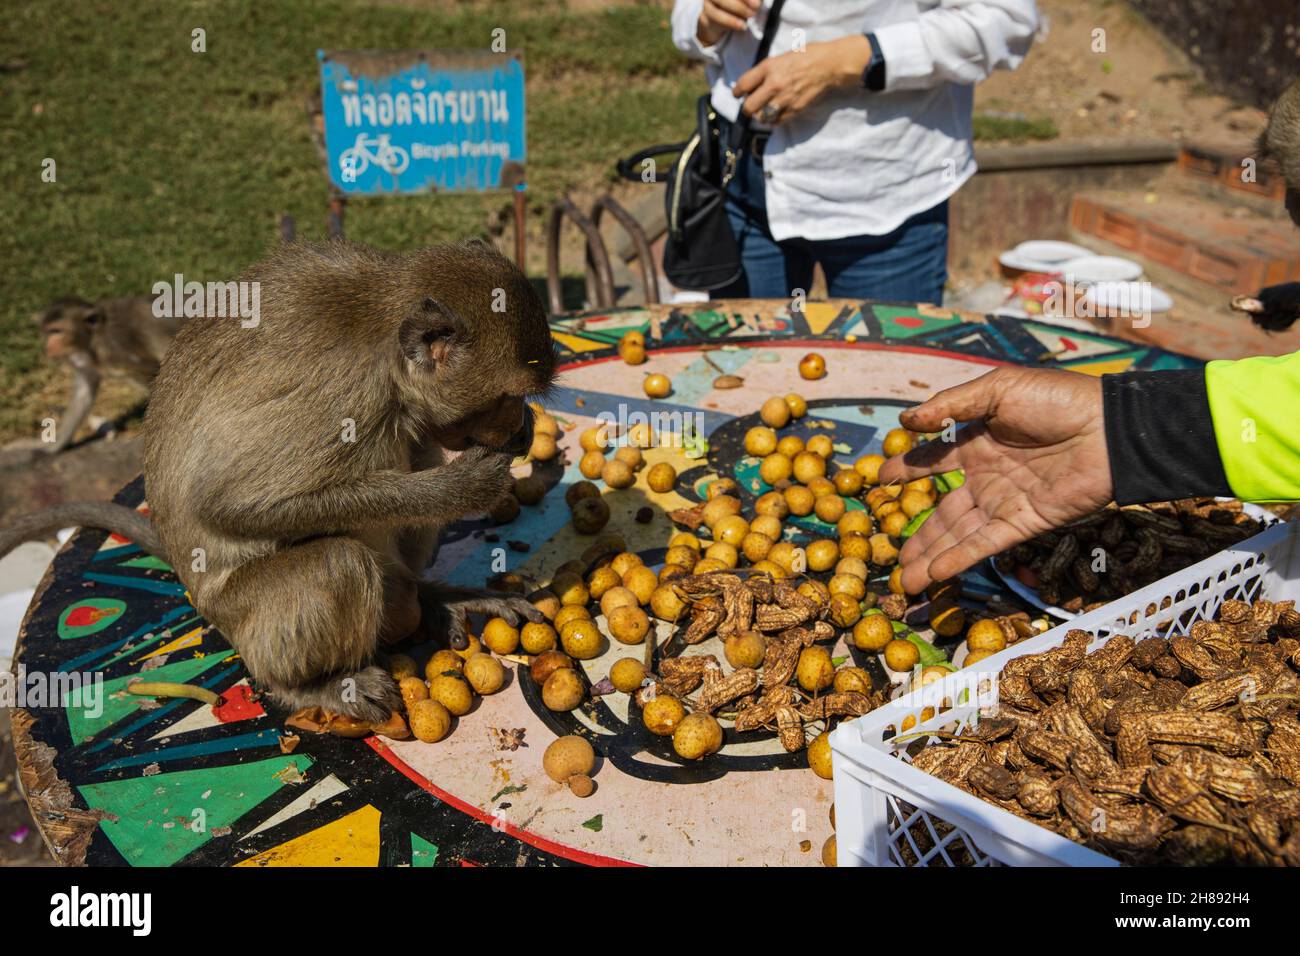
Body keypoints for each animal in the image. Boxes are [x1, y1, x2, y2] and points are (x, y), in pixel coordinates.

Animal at [32, 295, 182, 452]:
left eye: (56, 331)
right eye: (47, 331)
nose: (48, 347)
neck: (94, 338)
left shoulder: (116, 349)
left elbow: (153, 374)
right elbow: (83, 394)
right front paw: (53, 449)